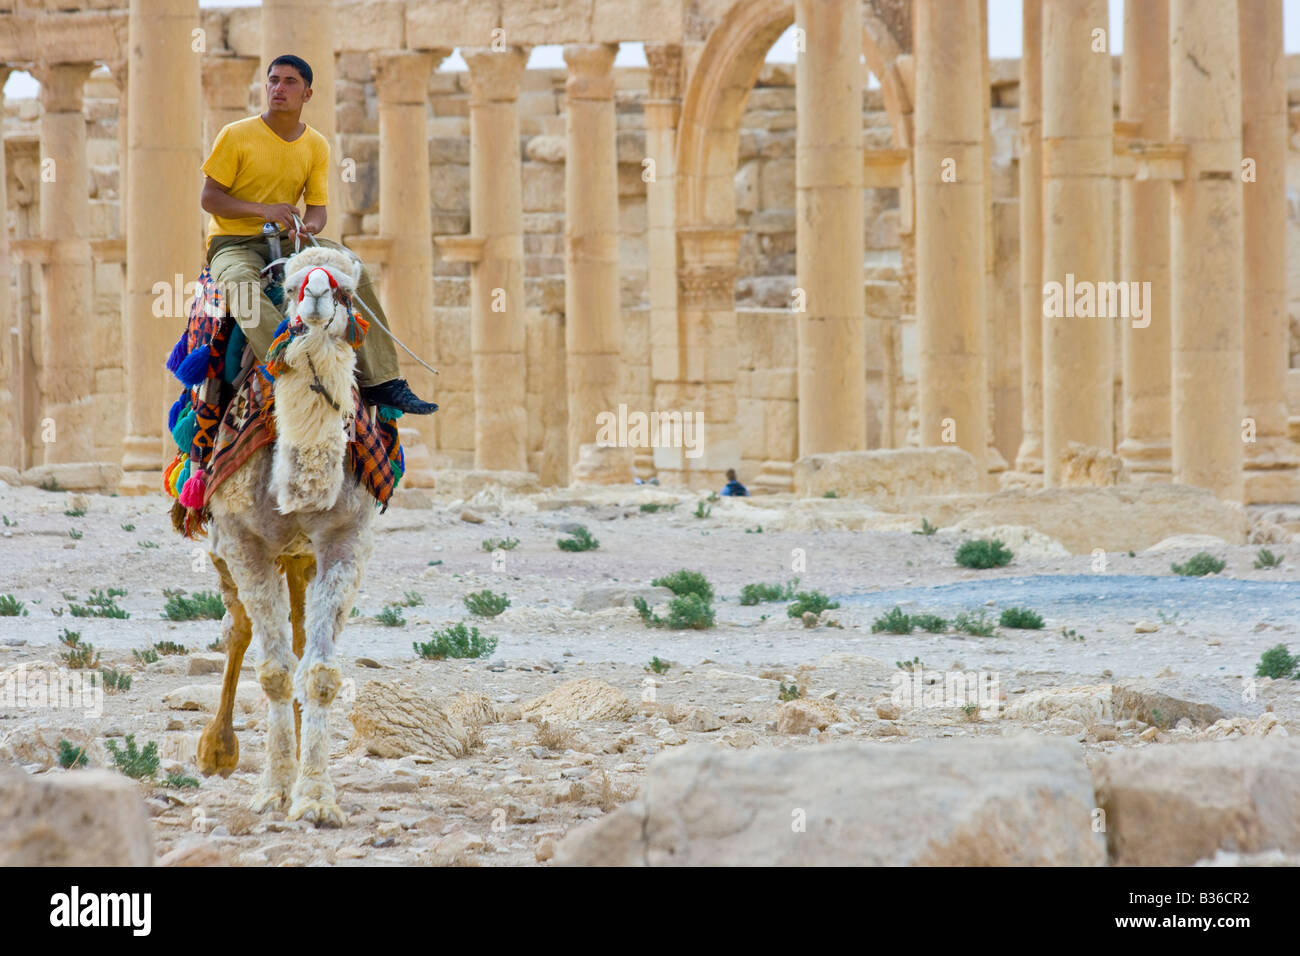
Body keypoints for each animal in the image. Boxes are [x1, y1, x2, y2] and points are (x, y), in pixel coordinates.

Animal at [194, 245, 375, 828]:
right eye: (291, 286)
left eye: (346, 289)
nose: (316, 292)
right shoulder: (241, 538)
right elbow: (273, 671)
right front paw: (273, 790)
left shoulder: (344, 539)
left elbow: (317, 671)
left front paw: (315, 797)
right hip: (220, 544)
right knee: (238, 629)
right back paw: (217, 750)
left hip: (300, 558)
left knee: (295, 632)